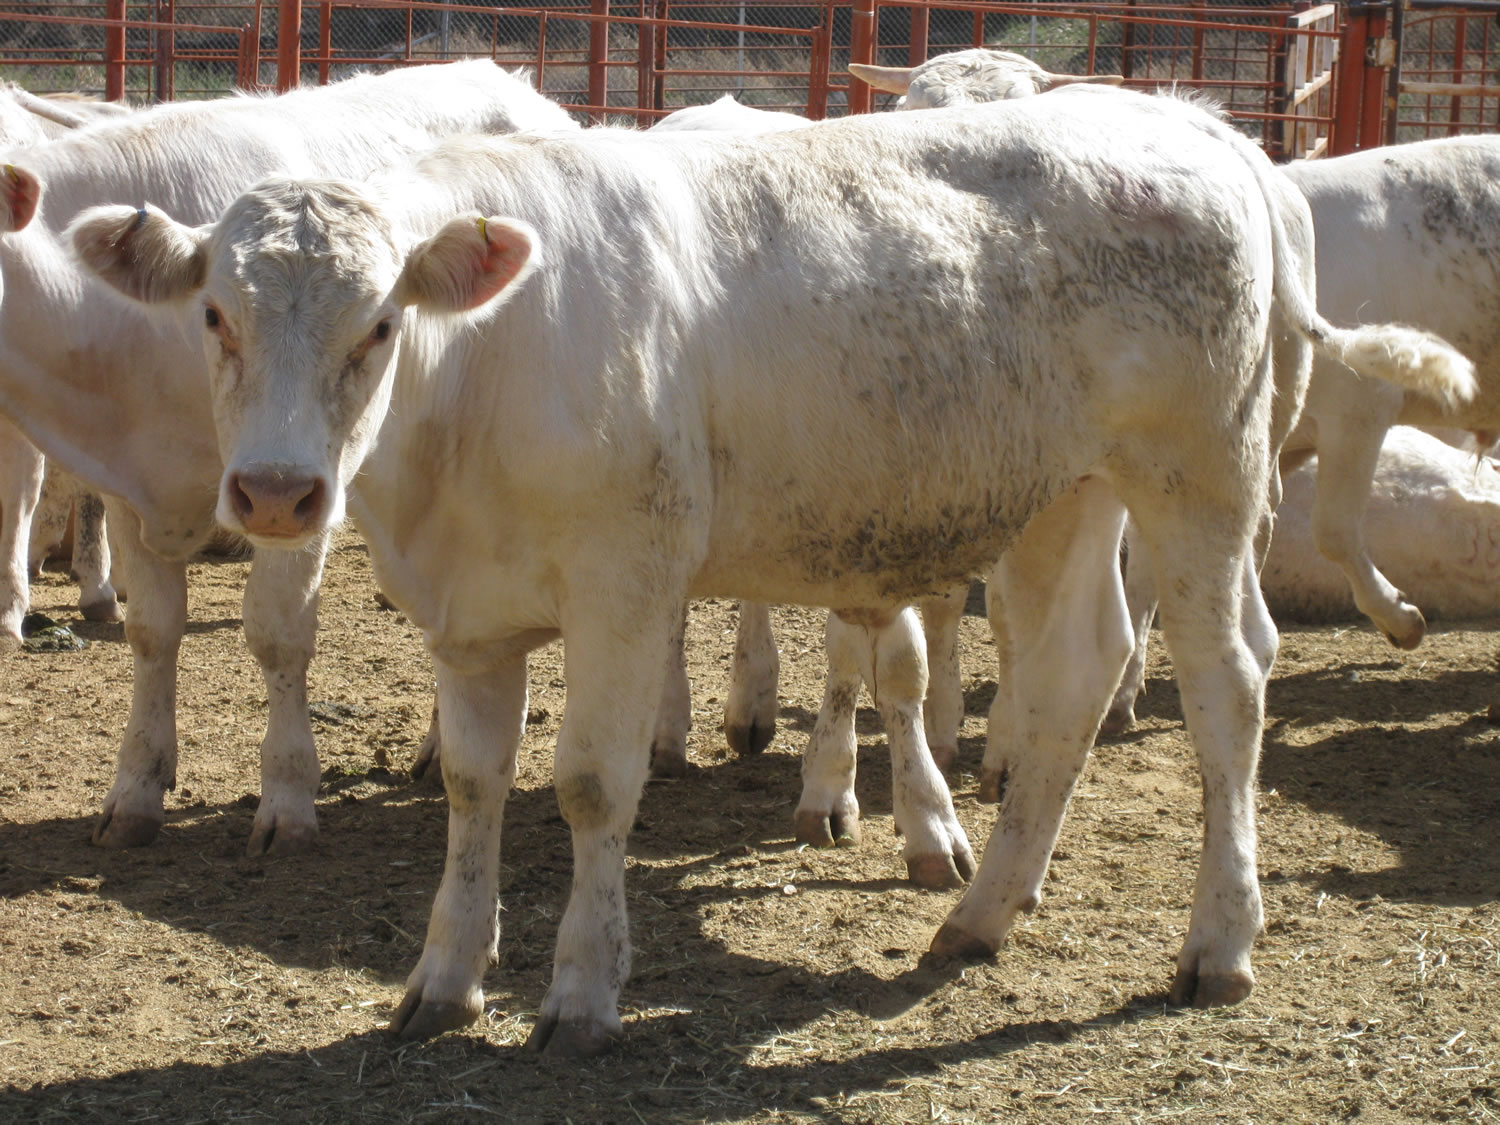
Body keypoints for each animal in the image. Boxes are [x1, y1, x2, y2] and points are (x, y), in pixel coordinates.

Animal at [0, 61, 573, 852]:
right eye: (213, 314)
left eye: (380, 327)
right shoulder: (128, 484)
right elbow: (152, 631)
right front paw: (137, 787)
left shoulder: (296, 490)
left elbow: (278, 634)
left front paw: (288, 796)